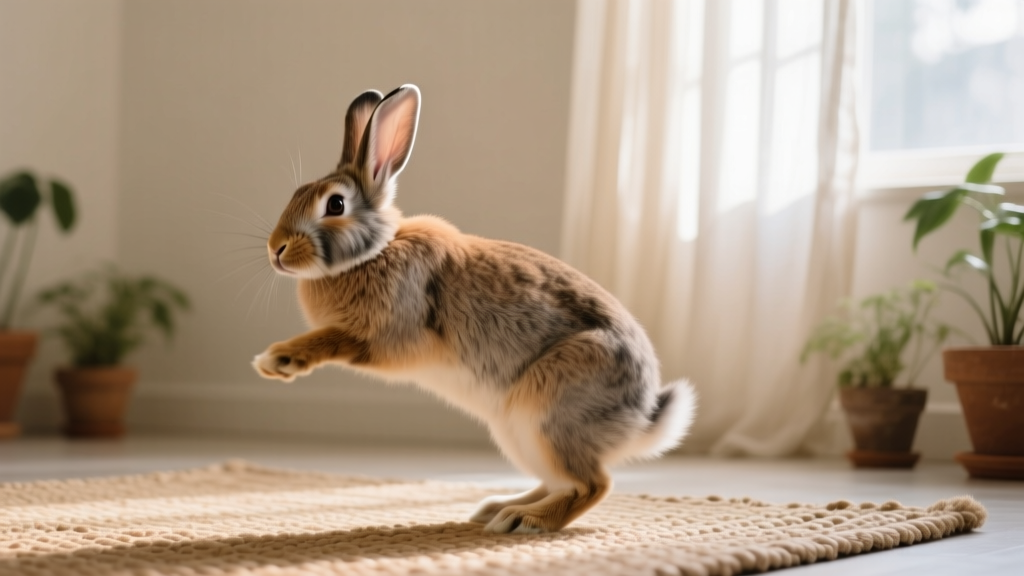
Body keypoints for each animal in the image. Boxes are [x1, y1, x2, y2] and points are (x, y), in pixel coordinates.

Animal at [253, 84, 696, 534]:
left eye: (336, 205)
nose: (276, 250)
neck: (376, 251)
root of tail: (642, 416)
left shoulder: (384, 336)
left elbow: (330, 339)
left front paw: (278, 360)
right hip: (518, 432)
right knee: (560, 481)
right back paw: (497, 509)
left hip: (550, 416)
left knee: (594, 484)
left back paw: (523, 521)